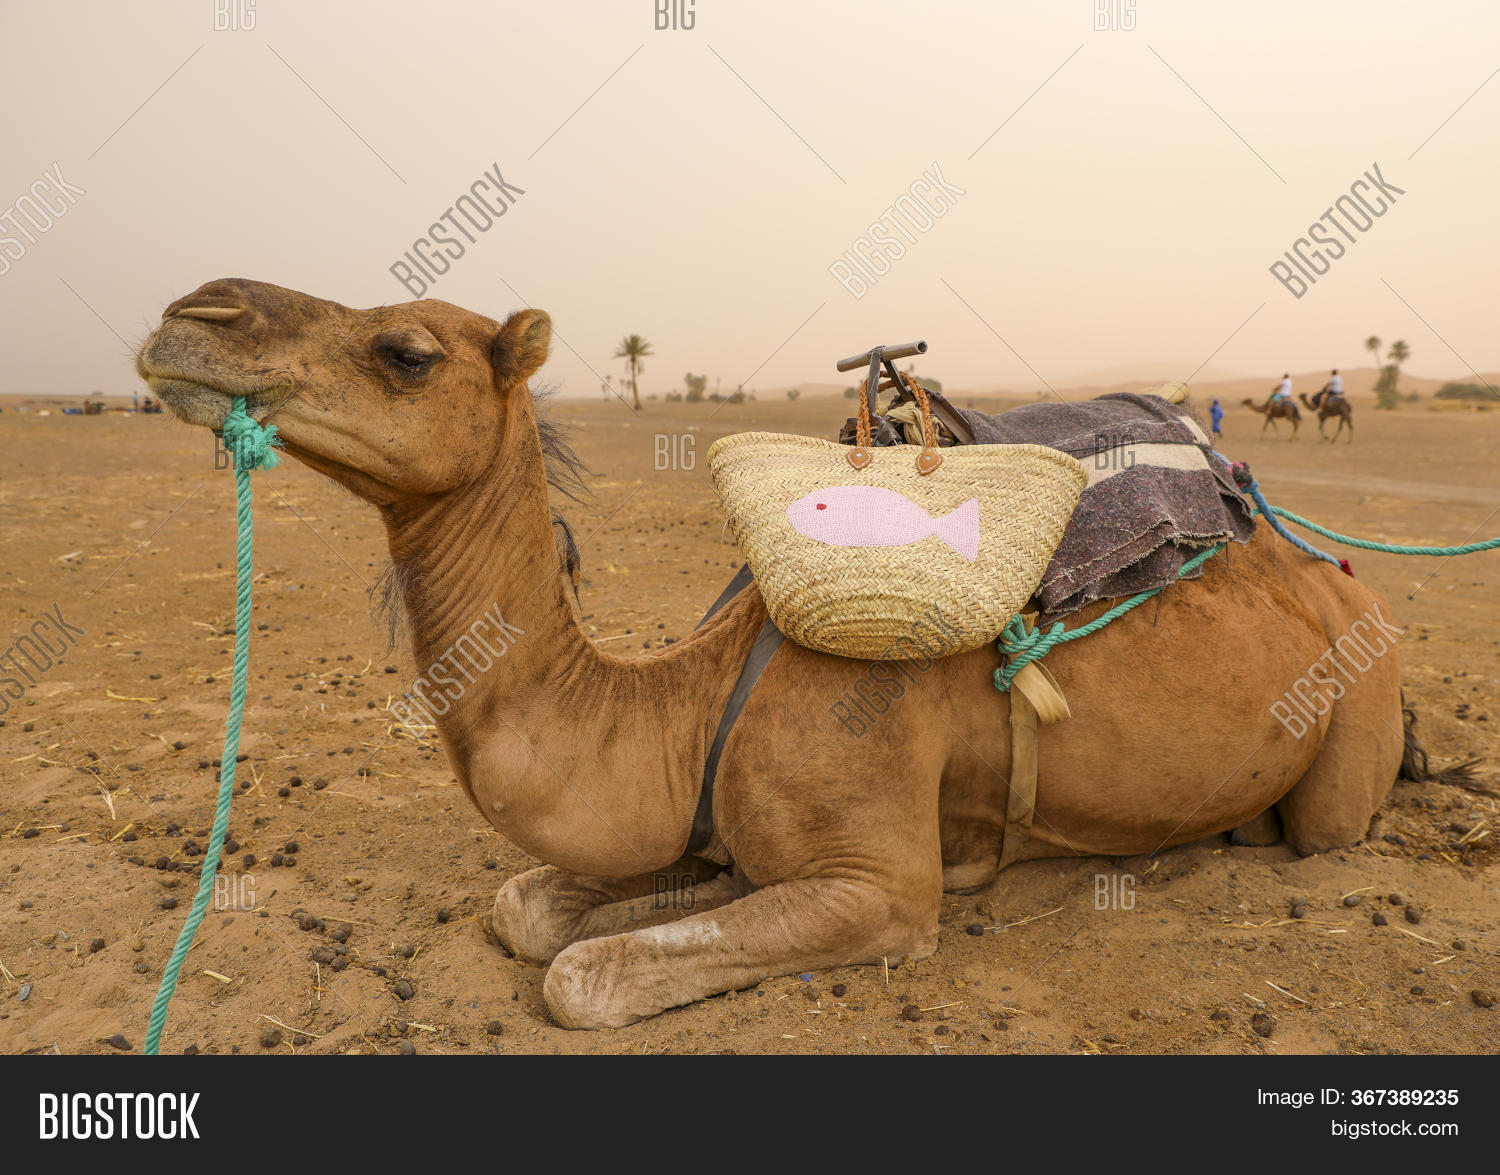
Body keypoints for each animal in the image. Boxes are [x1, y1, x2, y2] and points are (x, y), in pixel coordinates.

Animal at [138, 279, 1415, 1029]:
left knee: (1324, 825)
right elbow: (529, 908)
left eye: (404, 352)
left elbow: (580, 972)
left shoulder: (879, 887)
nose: (193, 314)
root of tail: (1335, 573)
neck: (691, 699)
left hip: (1357, 714)